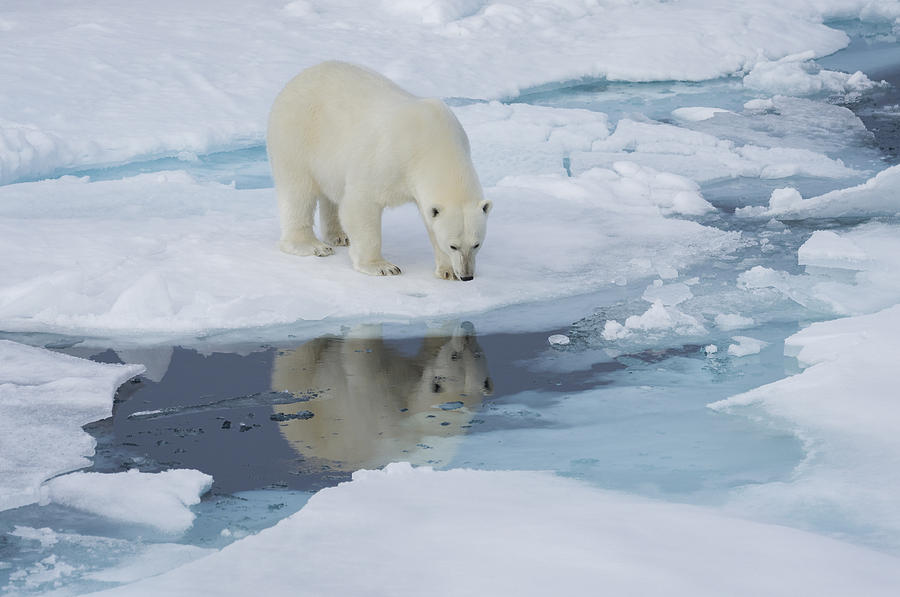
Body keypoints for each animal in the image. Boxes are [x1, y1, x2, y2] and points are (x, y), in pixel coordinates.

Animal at [266, 61, 491, 280]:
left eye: (476, 244)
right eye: (453, 245)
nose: (467, 276)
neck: (435, 143)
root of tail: (297, 78)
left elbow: (430, 220)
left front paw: (447, 270)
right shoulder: (388, 160)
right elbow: (360, 205)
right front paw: (382, 267)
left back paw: (339, 236)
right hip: (296, 136)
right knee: (298, 192)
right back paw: (312, 245)